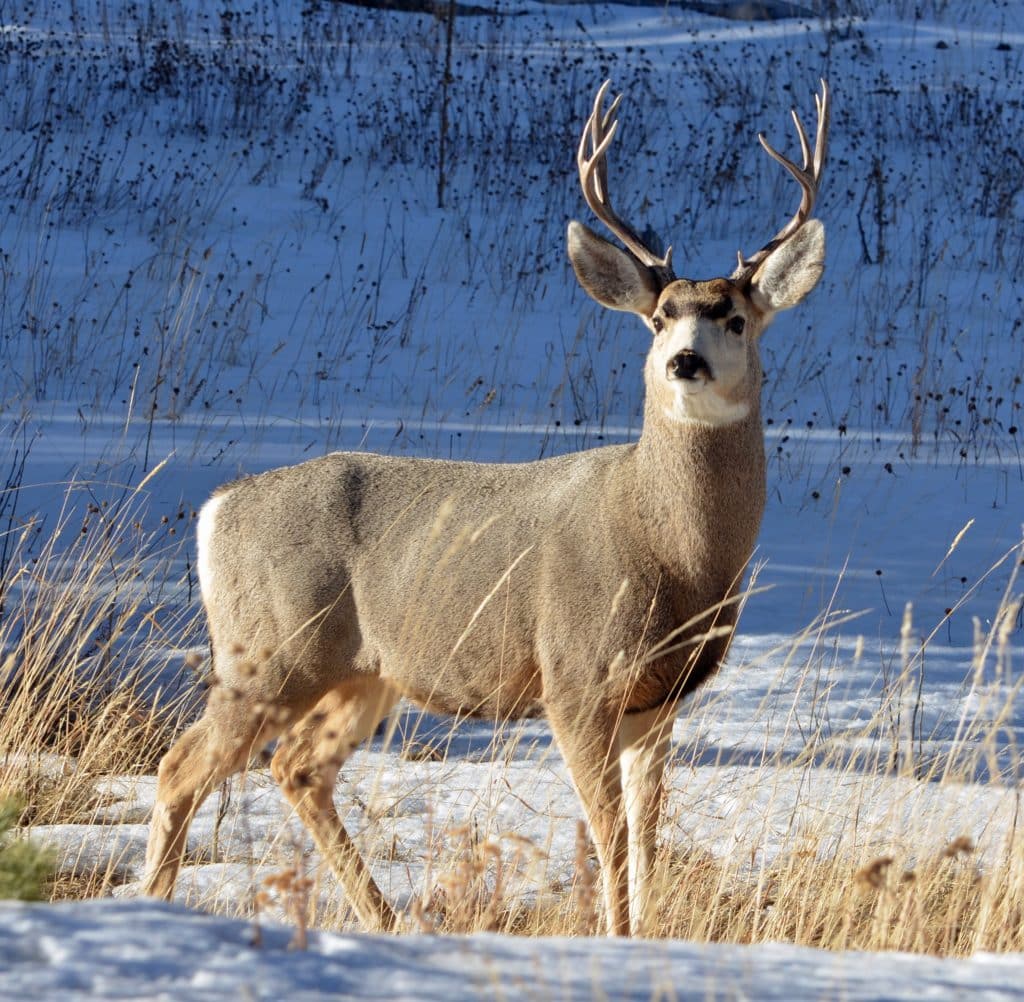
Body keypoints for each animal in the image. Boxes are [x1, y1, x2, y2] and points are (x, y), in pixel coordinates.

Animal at [143, 79, 829, 937]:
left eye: (734, 318)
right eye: (660, 315)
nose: (684, 361)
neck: (672, 554)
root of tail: (217, 508)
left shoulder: (659, 698)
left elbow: (647, 837)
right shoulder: (573, 674)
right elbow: (608, 834)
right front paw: (614, 936)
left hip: (364, 673)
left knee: (298, 769)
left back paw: (385, 920)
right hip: (269, 651)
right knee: (181, 766)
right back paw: (153, 905)